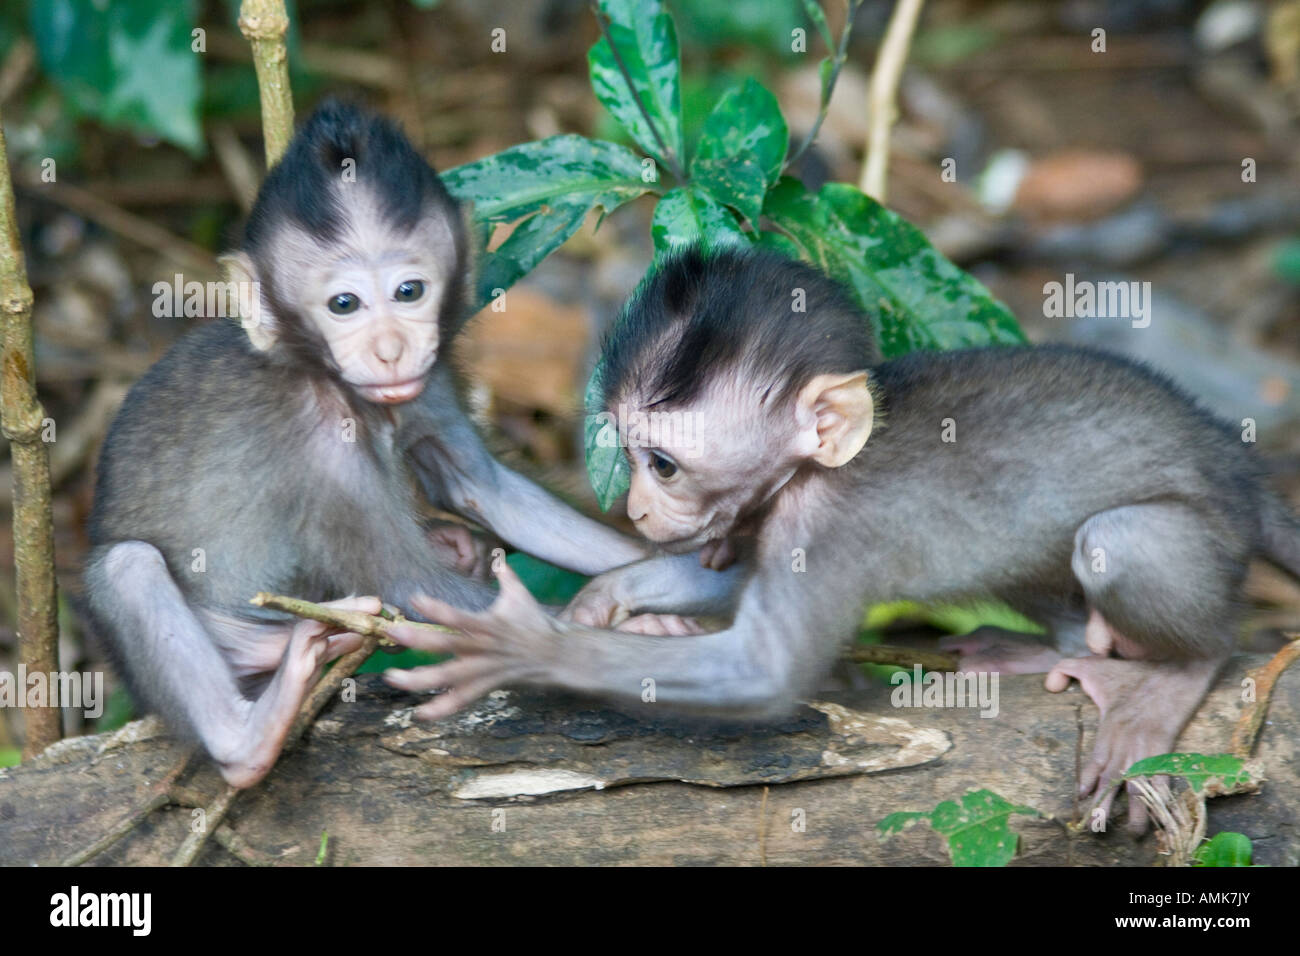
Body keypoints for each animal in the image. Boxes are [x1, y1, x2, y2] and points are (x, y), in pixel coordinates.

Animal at [82, 100, 650, 789]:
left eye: (410, 291)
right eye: (344, 304)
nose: (389, 349)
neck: (328, 378)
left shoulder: (427, 381)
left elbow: (482, 488)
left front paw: (675, 574)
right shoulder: (323, 442)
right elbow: (411, 583)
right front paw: (606, 632)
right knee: (128, 567)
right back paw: (250, 730)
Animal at [382, 244, 1300, 832]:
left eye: (663, 465)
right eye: (628, 455)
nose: (639, 511)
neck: (811, 470)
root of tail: (1235, 463)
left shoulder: (824, 524)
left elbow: (765, 670)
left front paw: (525, 645)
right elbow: (725, 582)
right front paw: (615, 594)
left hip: (1202, 533)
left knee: (1123, 543)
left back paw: (1172, 674)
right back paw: (1055, 648)